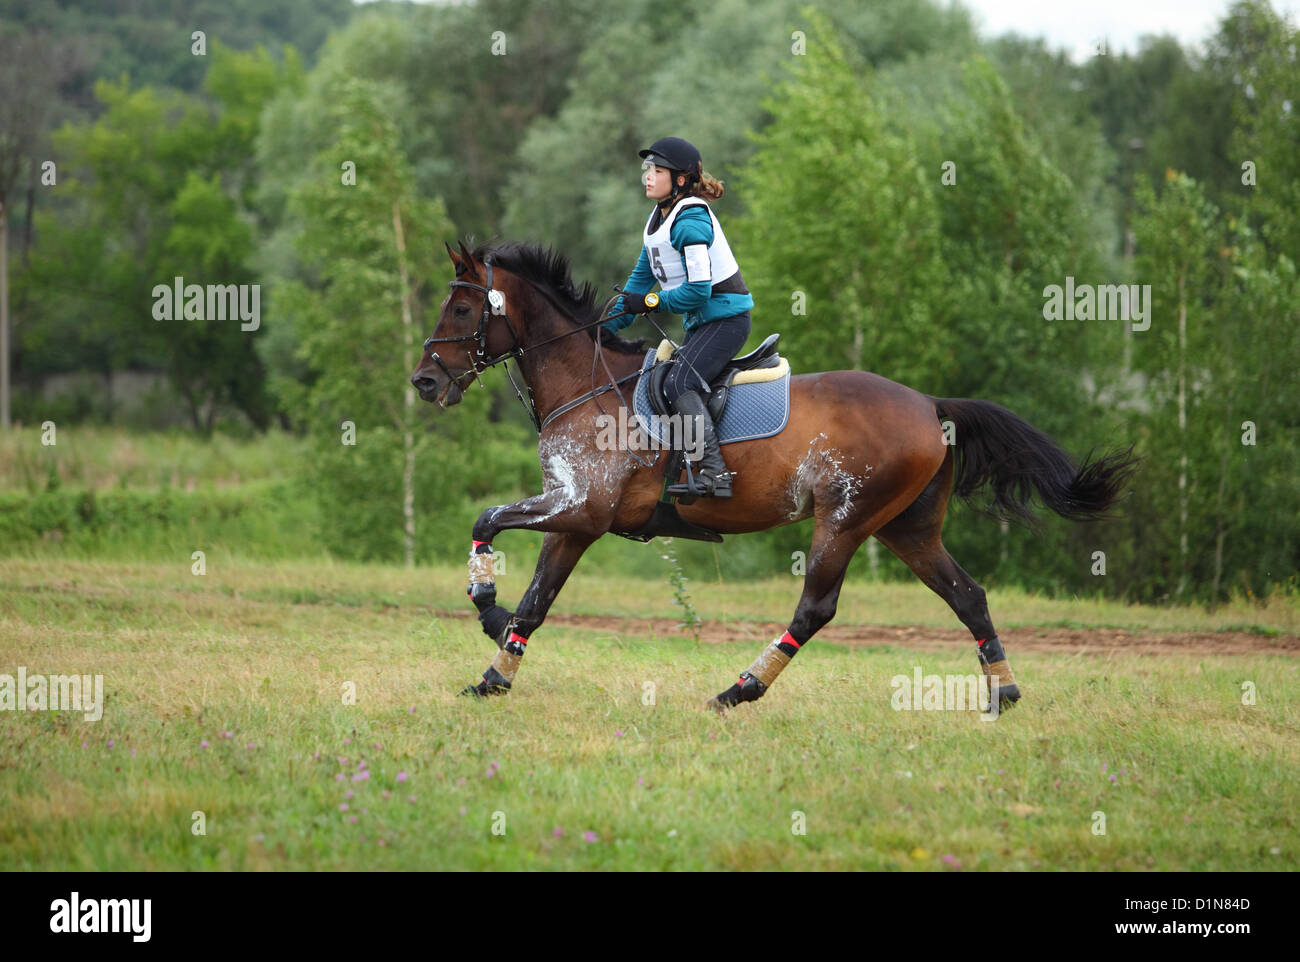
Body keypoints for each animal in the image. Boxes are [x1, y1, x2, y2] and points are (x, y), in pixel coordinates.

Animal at [410, 240, 1140, 712]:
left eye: (460, 311)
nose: (424, 382)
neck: (585, 384)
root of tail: (930, 404)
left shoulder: (580, 509)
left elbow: (487, 521)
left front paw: (487, 608)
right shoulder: (576, 518)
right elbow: (536, 600)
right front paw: (493, 674)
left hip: (843, 519)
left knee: (815, 608)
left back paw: (740, 689)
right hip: (906, 528)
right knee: (969, 595)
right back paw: (1004, 689)